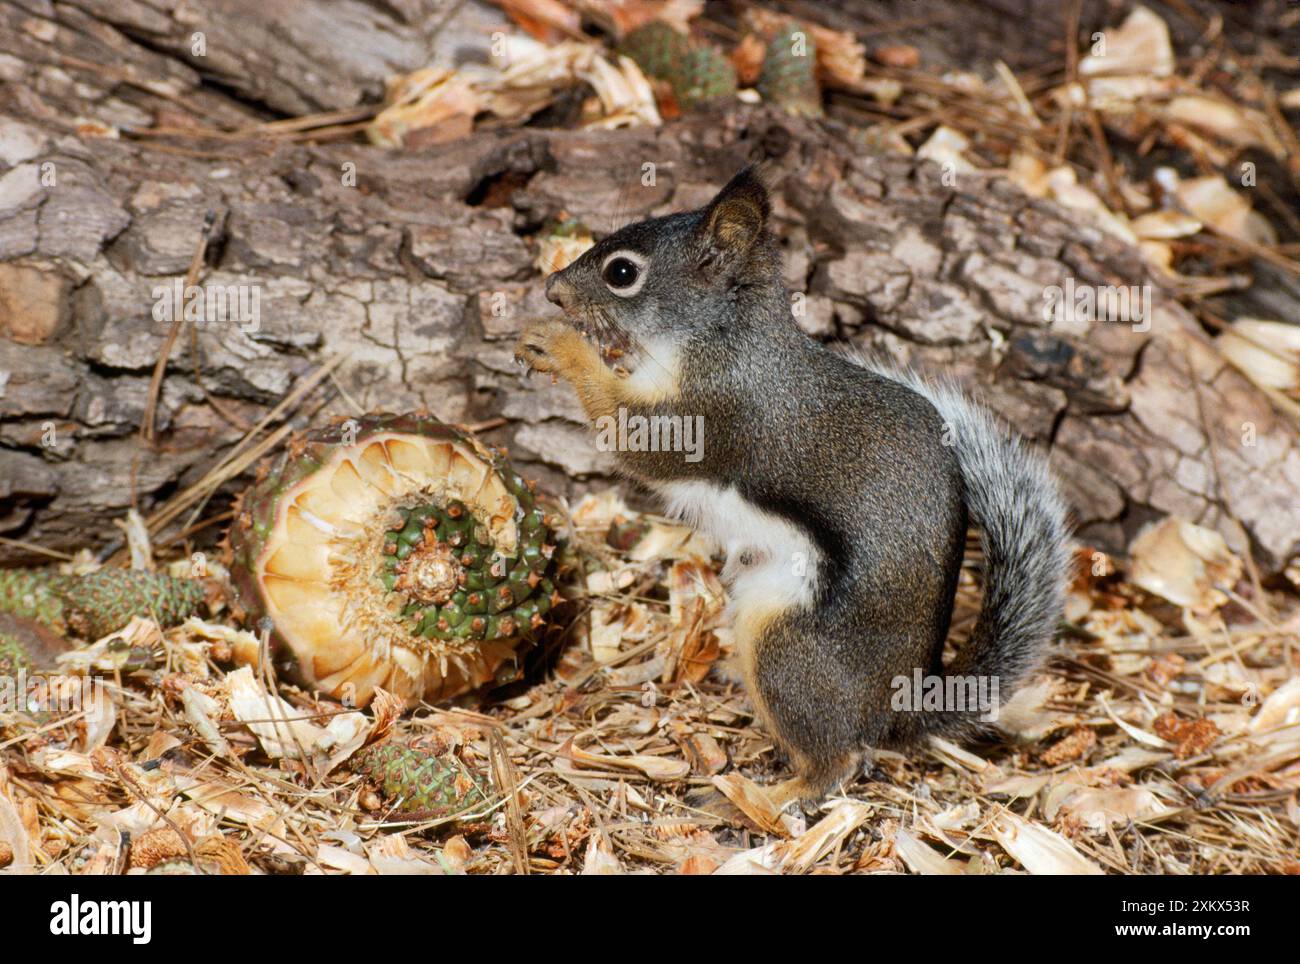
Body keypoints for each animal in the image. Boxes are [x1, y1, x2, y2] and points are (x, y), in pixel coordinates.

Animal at [515, 166, 1071, 809]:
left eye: (622, 273)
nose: (553, 290)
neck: (722, 336)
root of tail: (896, 712)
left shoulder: (713, 412)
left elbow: (639, 444)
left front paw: (560, 345)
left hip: (786, 645)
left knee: (838, 760)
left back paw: (771, 796)